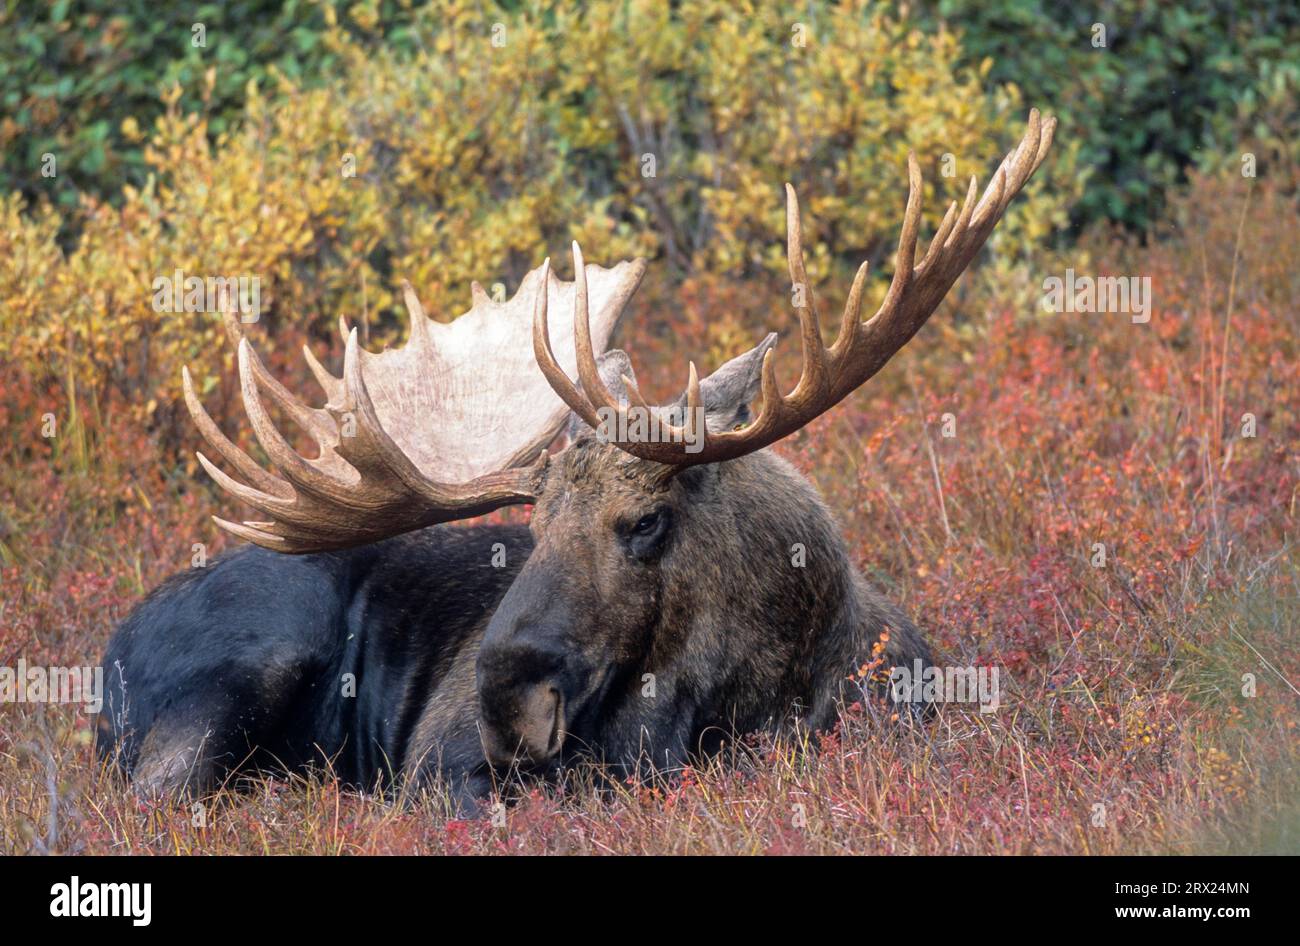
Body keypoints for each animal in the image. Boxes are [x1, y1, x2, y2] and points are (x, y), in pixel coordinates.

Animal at [97, 111, 1055, 808]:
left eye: (646, 523)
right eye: (531, 520)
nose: (504, 705)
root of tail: (107, 649)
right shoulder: (441, 769)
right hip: (250, 669)